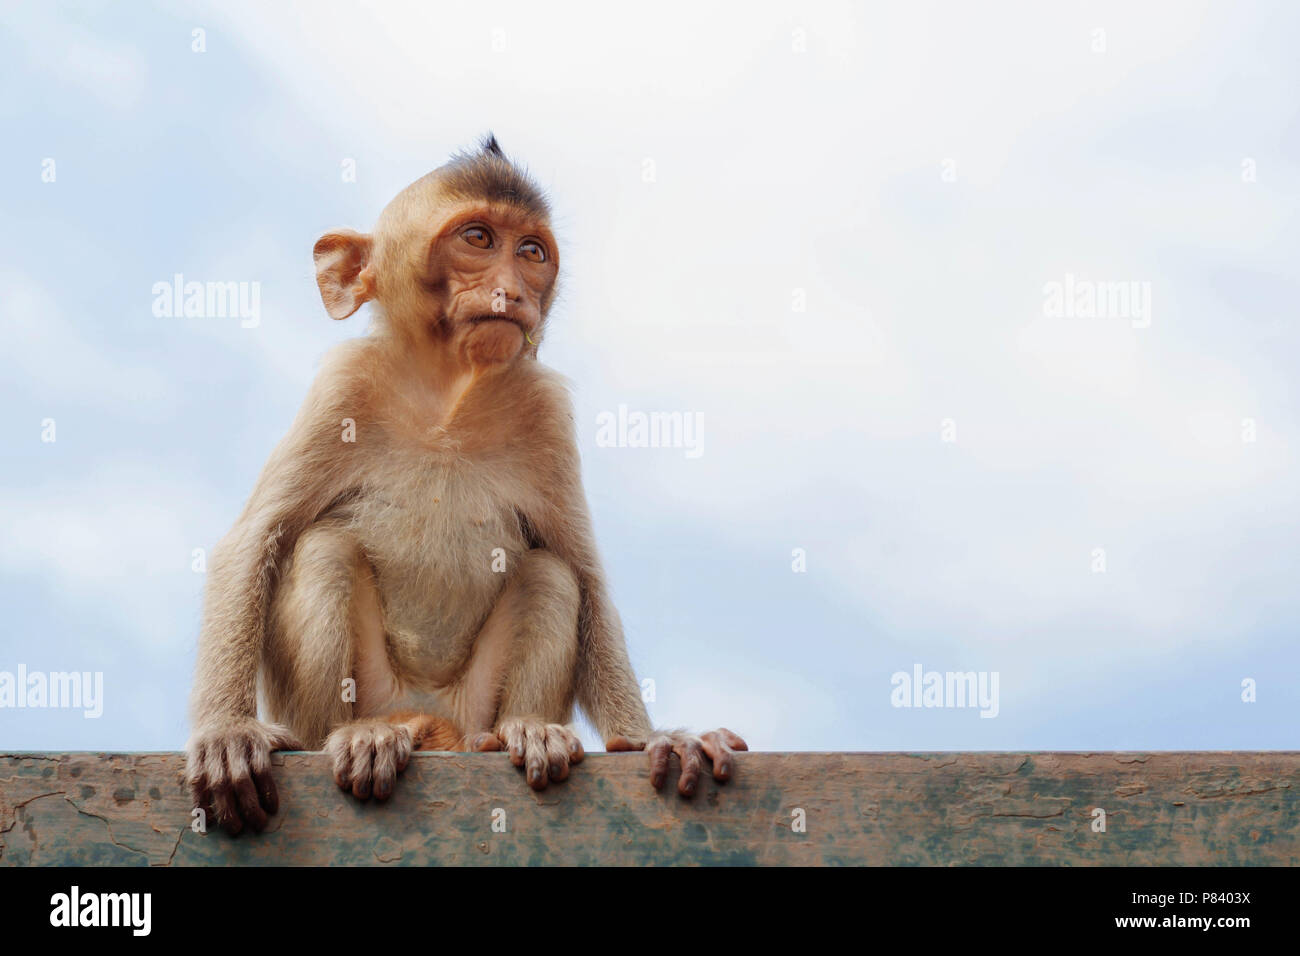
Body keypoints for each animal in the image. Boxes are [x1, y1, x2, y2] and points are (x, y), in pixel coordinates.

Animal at [185, 134, 747, 835]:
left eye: (531, 252)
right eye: (478, 238)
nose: (511, 289)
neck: (447, 392)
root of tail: (432, 719)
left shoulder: (544, 410)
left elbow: (584, 574)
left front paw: (653, 739)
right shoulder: (345, 386)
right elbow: (255, 541)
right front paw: (227, 734)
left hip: (471, 702)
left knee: (550, 576)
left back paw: (516, 735)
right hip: (372, 693)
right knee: (323, 551)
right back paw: (366, 735)